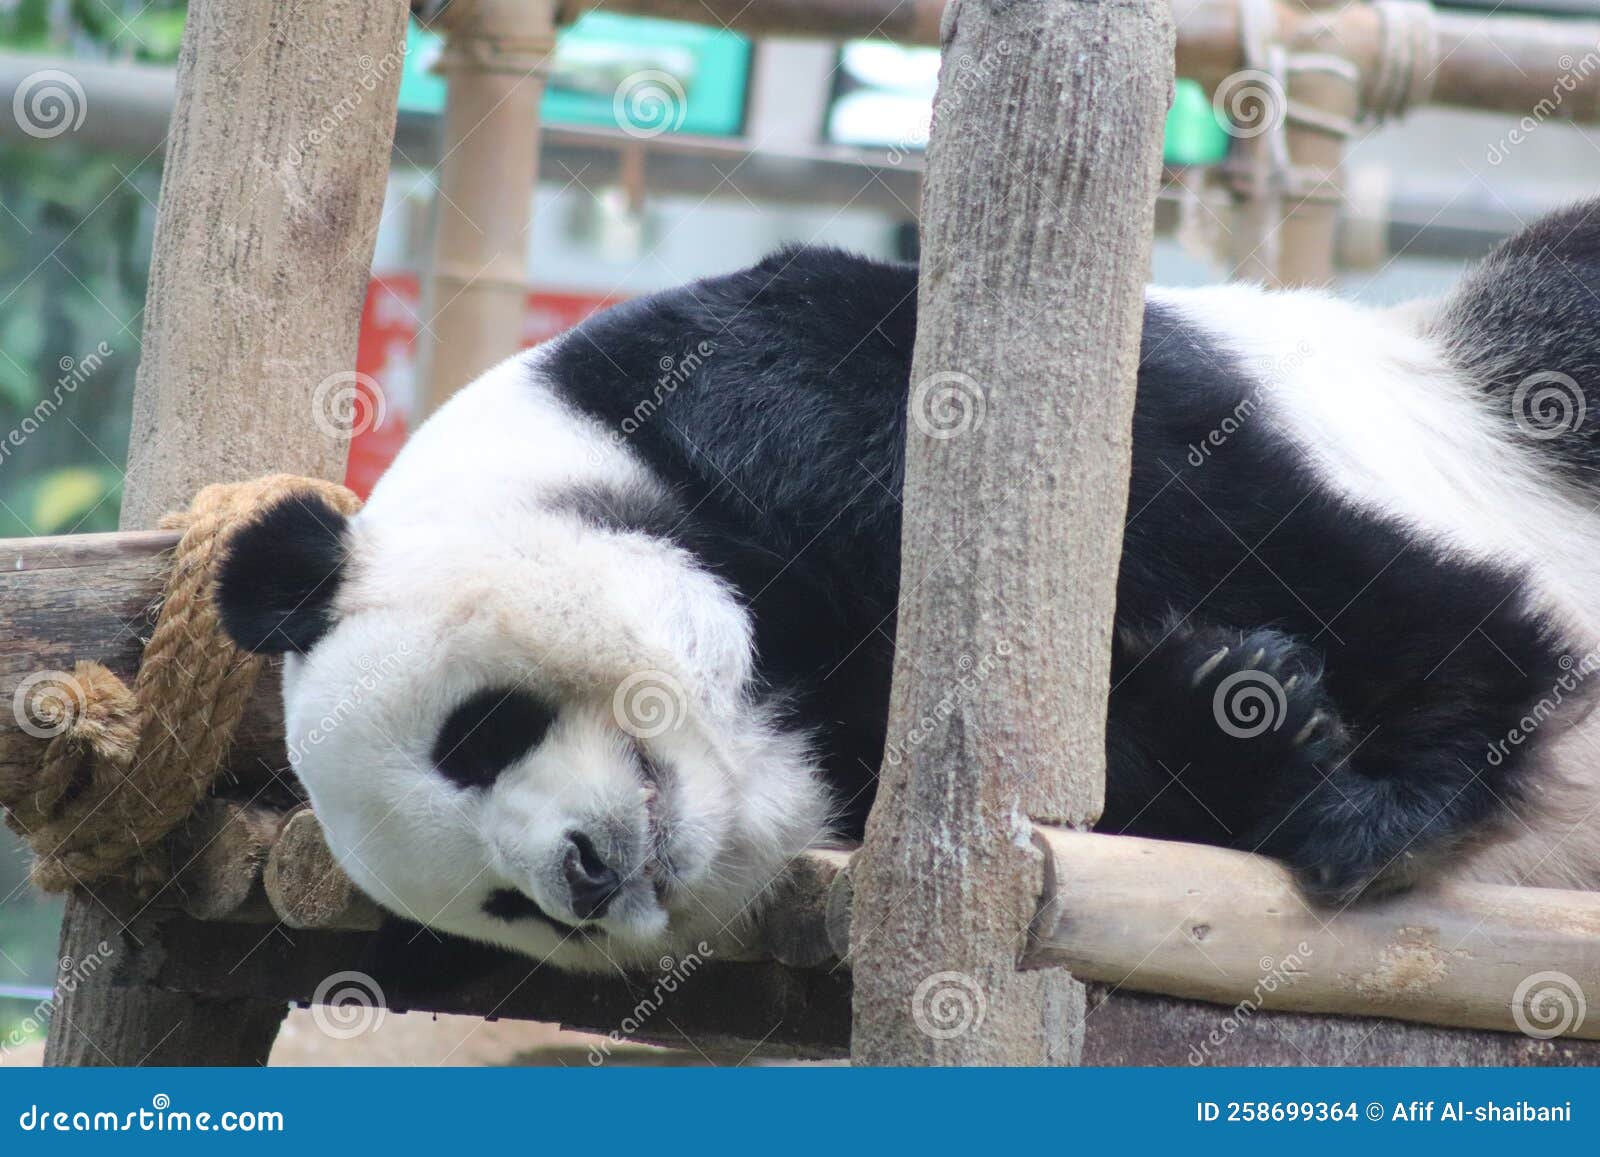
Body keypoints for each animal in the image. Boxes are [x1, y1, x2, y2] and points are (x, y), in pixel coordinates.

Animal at [217, 199, 1600, 974]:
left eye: (479, 732)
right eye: (509, 909)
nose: (588, 877)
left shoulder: (758, 372)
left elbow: (1203, 514)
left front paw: (1415, 767)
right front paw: (1241, 712)